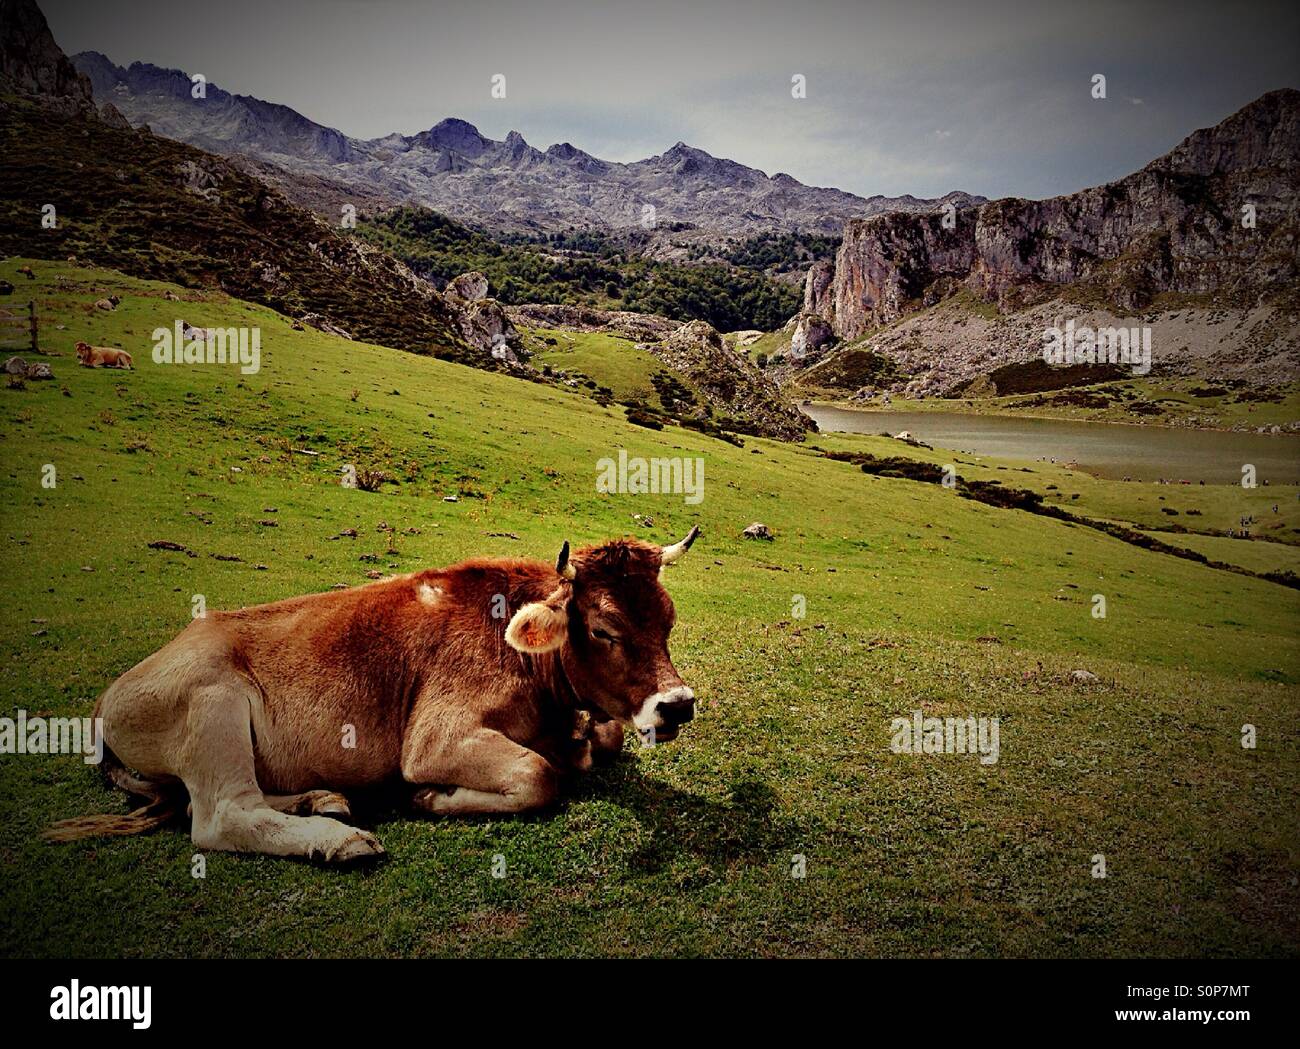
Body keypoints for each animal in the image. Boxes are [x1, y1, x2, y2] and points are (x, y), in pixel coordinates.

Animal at [47, 529, 702, 863]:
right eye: (604, 630)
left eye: (668, 619)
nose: (677, 704)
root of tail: (104, 703)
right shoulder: (436, 738)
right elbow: (539, 775)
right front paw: (432, 797)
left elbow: (606, 738)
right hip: (213, 702)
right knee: (218, 815)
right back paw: (339, 840)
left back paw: (323, 801)